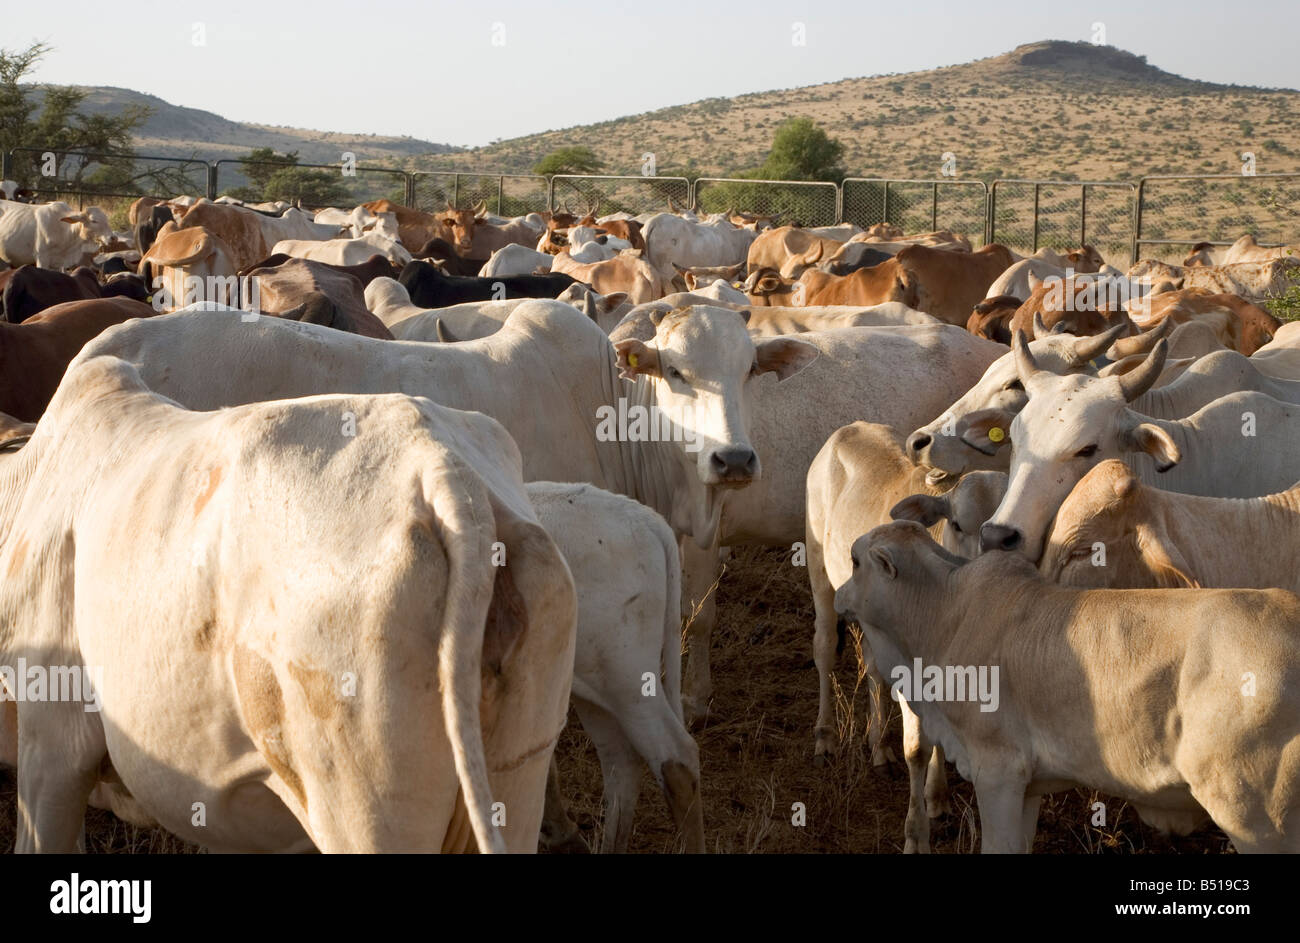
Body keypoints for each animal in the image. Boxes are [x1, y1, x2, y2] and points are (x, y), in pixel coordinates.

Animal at [836, 520, 1300, 853]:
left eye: (856, 561)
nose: (838, 595)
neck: (943, 615)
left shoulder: (997, 772)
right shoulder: (1027, 786)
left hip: (1257, 819)